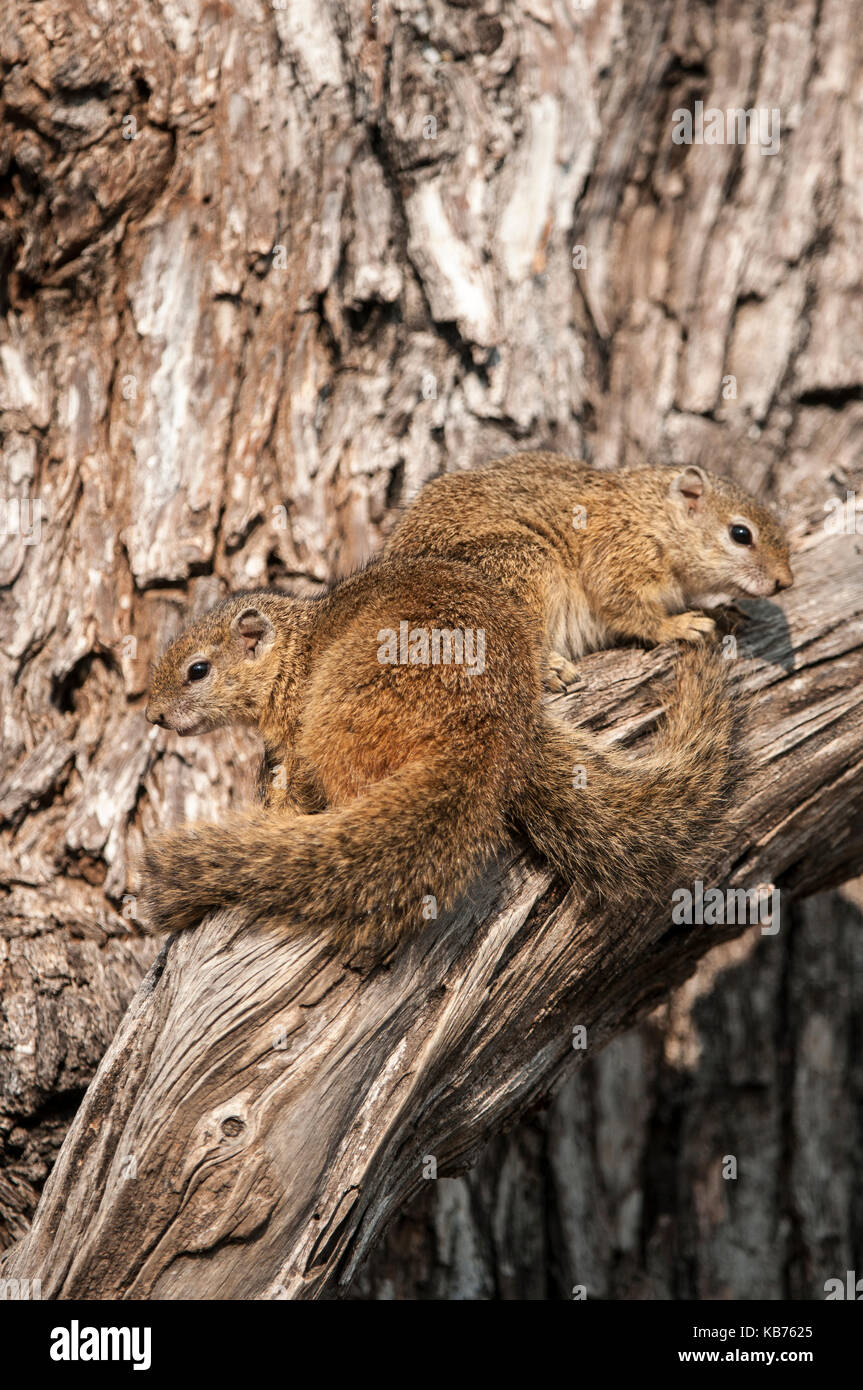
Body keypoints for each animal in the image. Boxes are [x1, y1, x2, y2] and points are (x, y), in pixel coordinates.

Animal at [384, 452, 793, 688]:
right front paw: (678, 625)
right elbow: (630, 611)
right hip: (521, 566)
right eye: (741, 534)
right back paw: (547, 668)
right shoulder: (618, 559)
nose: (785, 582)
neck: (653, 517)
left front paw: (725, 611)